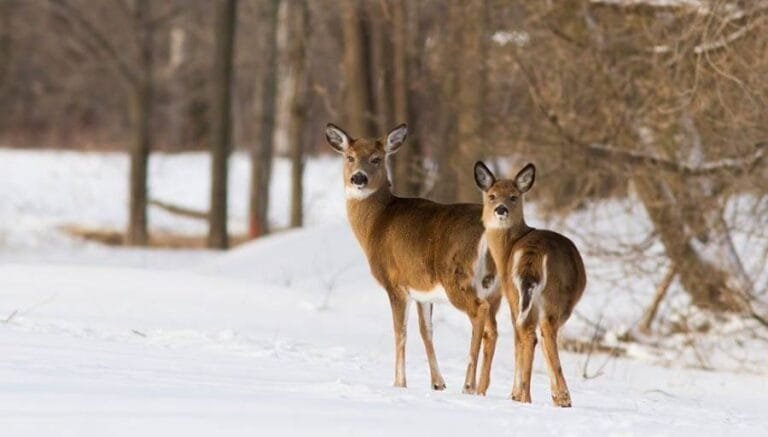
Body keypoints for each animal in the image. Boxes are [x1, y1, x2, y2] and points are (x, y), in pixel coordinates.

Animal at [325, 122, 501, 395]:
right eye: (349, 157)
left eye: (376, 158)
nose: (358, 178)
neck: (377, 224)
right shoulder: (421, 289)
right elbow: (425, 331)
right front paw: (438, 383)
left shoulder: (395, 282)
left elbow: (400, 331)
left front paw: (399, 382)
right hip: (495, 288)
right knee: (494, 328)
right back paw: (484, 388)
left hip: (458, 278)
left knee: (478, 313)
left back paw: (469, 385)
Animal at [473, 161, 586, 407]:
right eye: (492, 195)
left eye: (513, 197)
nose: (501, 209)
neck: (506, 251)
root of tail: (533, 254)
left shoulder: (511, 295)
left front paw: (516, 394)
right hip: (551, 298)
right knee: (541, 334)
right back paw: (553, 397)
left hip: (528, 296)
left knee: (531, 334)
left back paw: (535, 396)